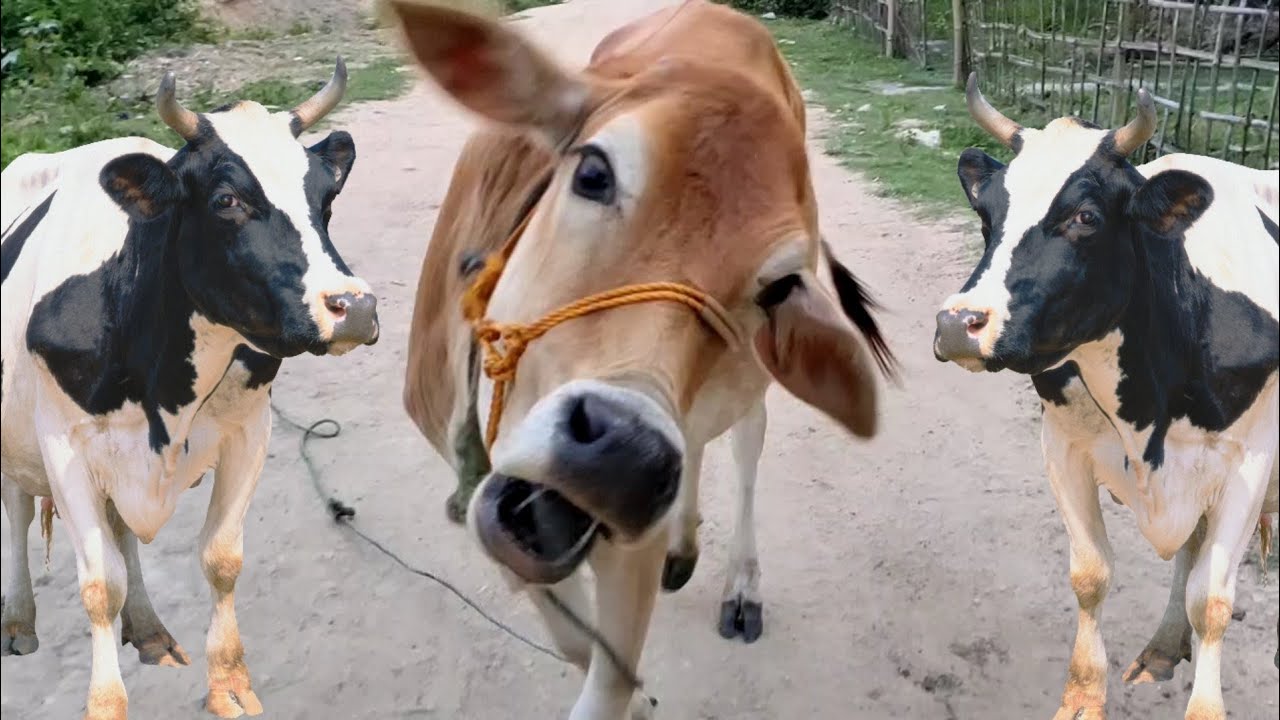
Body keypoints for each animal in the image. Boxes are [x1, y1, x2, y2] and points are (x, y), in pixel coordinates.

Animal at [0, 59, 379, 720]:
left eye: (326, 198)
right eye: (227, 200)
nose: (354, 308)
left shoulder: (249, 427)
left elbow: (221, 558)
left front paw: (229, 681)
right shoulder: (63, 444)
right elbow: (98, 585)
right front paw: (105, 702)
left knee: (121, 528)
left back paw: (149, 628)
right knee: (17, 511)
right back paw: (19, 619)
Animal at [393, 1, 894, 717]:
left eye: (778, 289)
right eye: (593, 173)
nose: (622, 457)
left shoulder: (626, 547)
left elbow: (609, 679)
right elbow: (575, 639)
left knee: (743, 448)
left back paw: (737, 581)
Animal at [933, 74, 1279, 720]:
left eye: (1085, 217)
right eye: (987, 214)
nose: (957, 323)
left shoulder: (1249, 461)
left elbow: (1212, 602)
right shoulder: (1063, 443)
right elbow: (1091, 575)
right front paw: (1082, 697)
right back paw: (1165, 648)